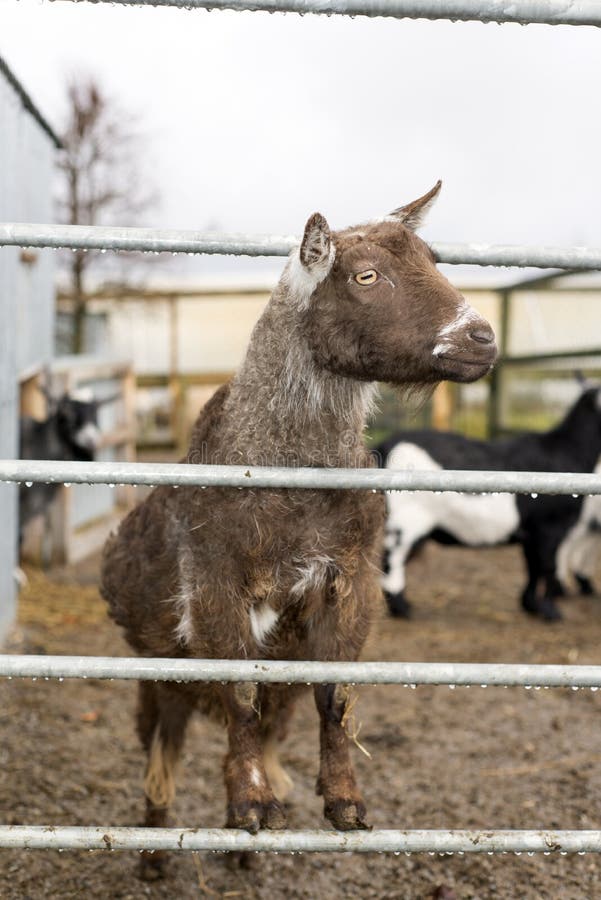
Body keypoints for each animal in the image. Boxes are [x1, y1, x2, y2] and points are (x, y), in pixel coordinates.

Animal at [99, 182, 497, 880]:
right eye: (365, 275)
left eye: (433, 258)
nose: (482, 337)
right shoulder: (215, 585)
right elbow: (238, 693)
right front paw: (252, 805)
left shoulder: (350, 578)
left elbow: (334, 695)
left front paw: (344, 804)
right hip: (157, 671)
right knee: (162, 752)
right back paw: (154, 851)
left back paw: (241, 852)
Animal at [376, 386, 601, 622]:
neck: (566, 450)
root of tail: (385, 446)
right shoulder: (550, 527)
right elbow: (548, 567)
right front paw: (550, 611)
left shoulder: (531, 532)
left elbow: (532, 566)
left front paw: (530, 605)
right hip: (407, 520)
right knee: (391, 559)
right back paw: (401, 607)